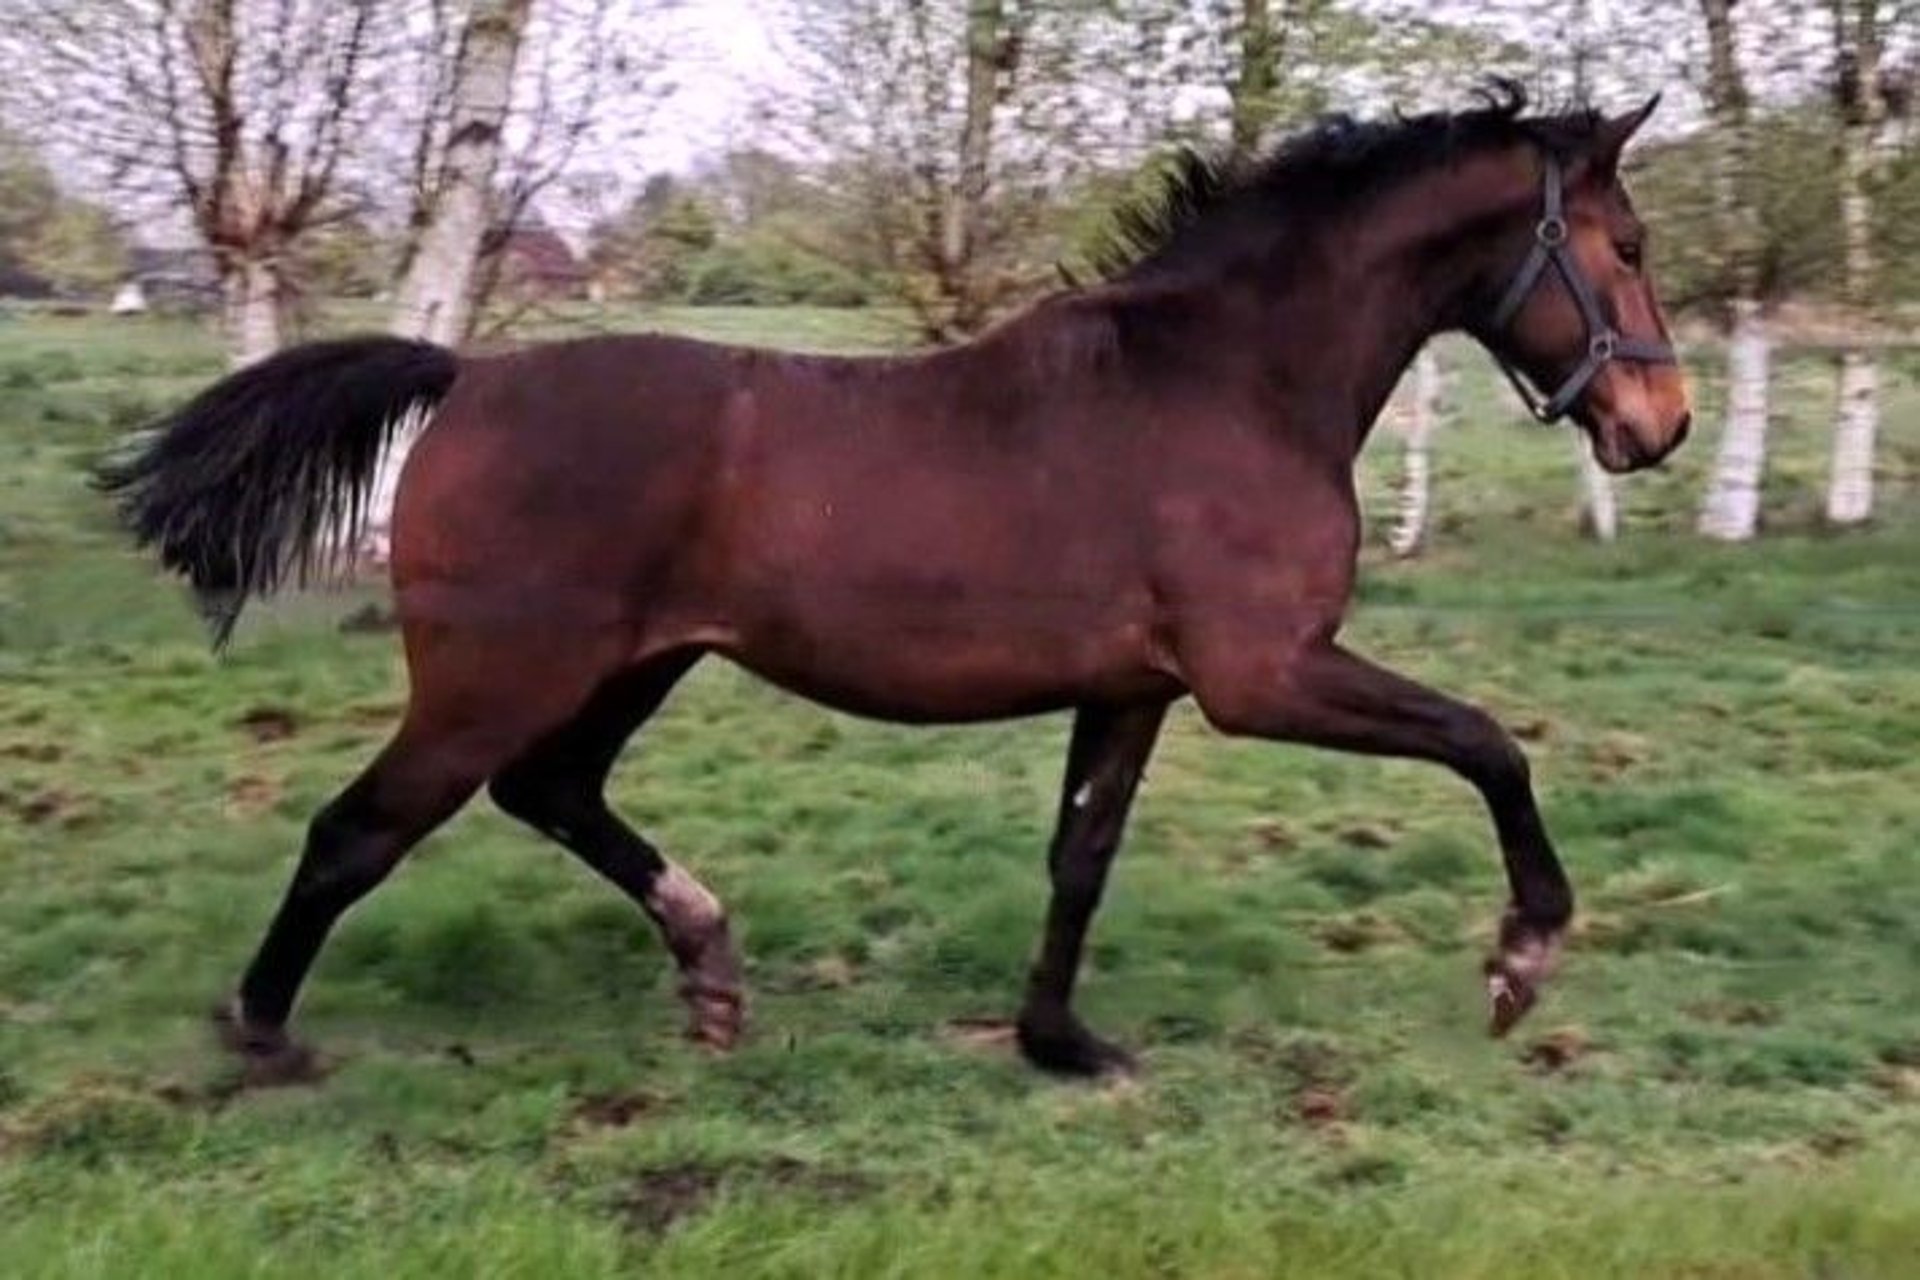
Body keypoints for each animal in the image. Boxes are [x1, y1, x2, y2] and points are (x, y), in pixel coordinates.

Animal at [100, 84, 1691, 1081]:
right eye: (1624, 243)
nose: (1661, 424)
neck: (1230, 382)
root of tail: (468, 377)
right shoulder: (1264, 674)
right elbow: (1487, 742)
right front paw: (1524, 957)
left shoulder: (1137, 688)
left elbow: (1080, 857)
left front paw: (1060, 1044)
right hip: (501, 679)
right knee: (358, 828)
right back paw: (264, 1031)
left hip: (635, 664)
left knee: (548, 794)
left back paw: (711, 965)